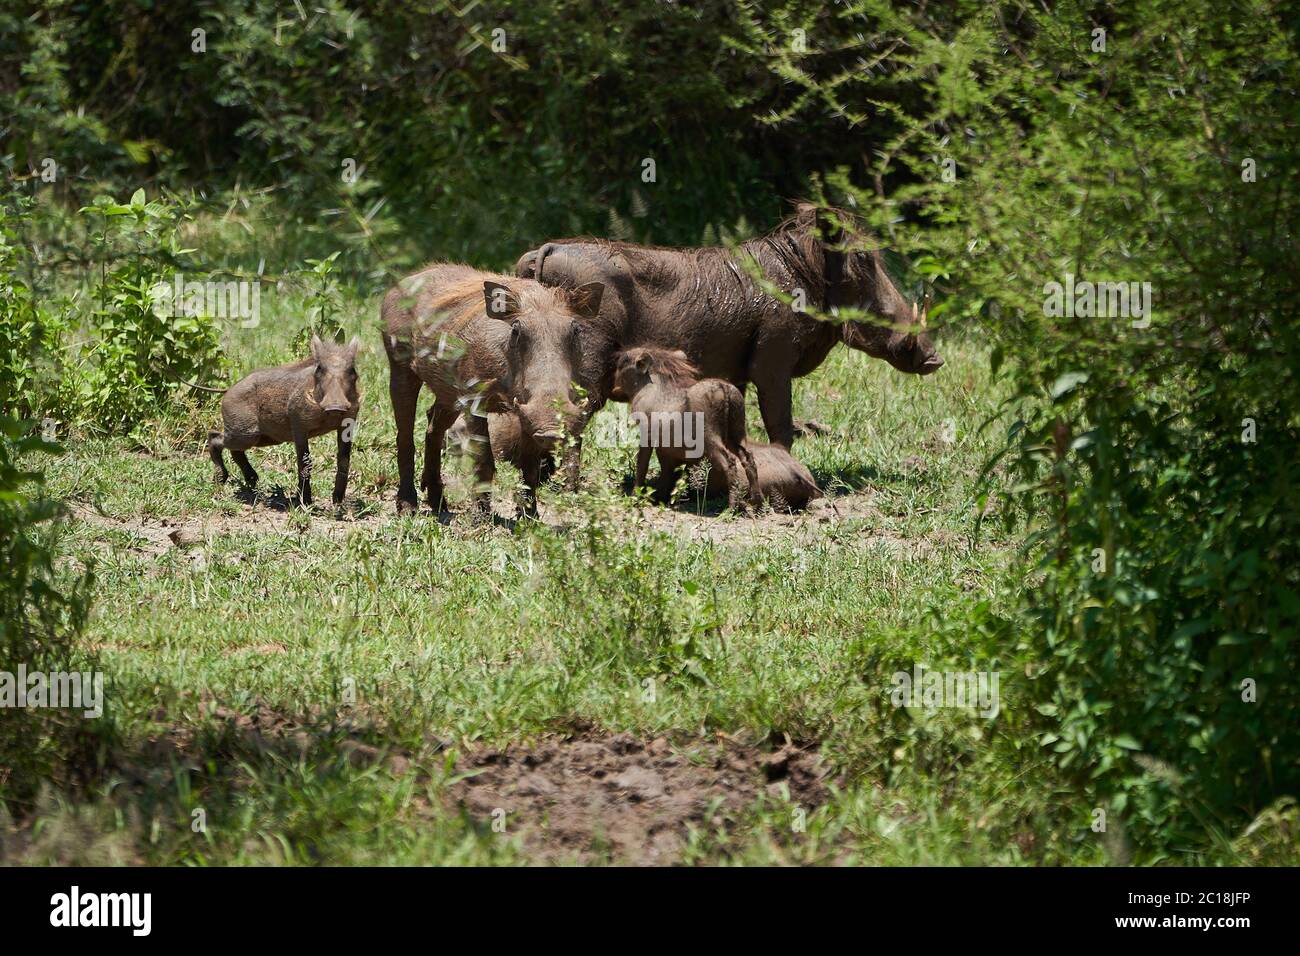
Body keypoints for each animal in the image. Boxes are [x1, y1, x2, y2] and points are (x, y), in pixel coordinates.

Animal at [207, 335, 361, 508]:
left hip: (261, 438)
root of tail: (228, 390)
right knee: (214, 437)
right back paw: (221, 478)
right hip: (245, 434)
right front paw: (305, 502)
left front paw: (337, 502)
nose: (335, 406)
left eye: (352, 369)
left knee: (235, 451)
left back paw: (252, 481)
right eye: (320, 368)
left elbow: (343, 461)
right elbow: (304, 463)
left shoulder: (347, 426)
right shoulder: (299, 427)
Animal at [381, 263, 602, 516]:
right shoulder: (475, 401)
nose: (552, 431)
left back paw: (439, 503)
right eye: (516, 331)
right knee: (405, 435)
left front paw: (529, 517)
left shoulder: (525, 413)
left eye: (575, 331)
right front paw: (483, 517)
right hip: (400, 369)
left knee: (433, 428)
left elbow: (530, 467)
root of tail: (403, 283)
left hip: (448, 393)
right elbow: (484, 461)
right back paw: (407, 505)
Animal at [612, 346, 760, 512]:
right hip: (737, 433)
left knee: (729, 462)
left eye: (624, 361)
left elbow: (642, 465)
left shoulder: (647, 435)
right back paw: (756, 504)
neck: (647, 384)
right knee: (748, 458)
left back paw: (731, 508)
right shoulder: (666, 445)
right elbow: (666, 468)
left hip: (709, 438)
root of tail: (725, 389)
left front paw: (635, 497)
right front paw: (660, 497)